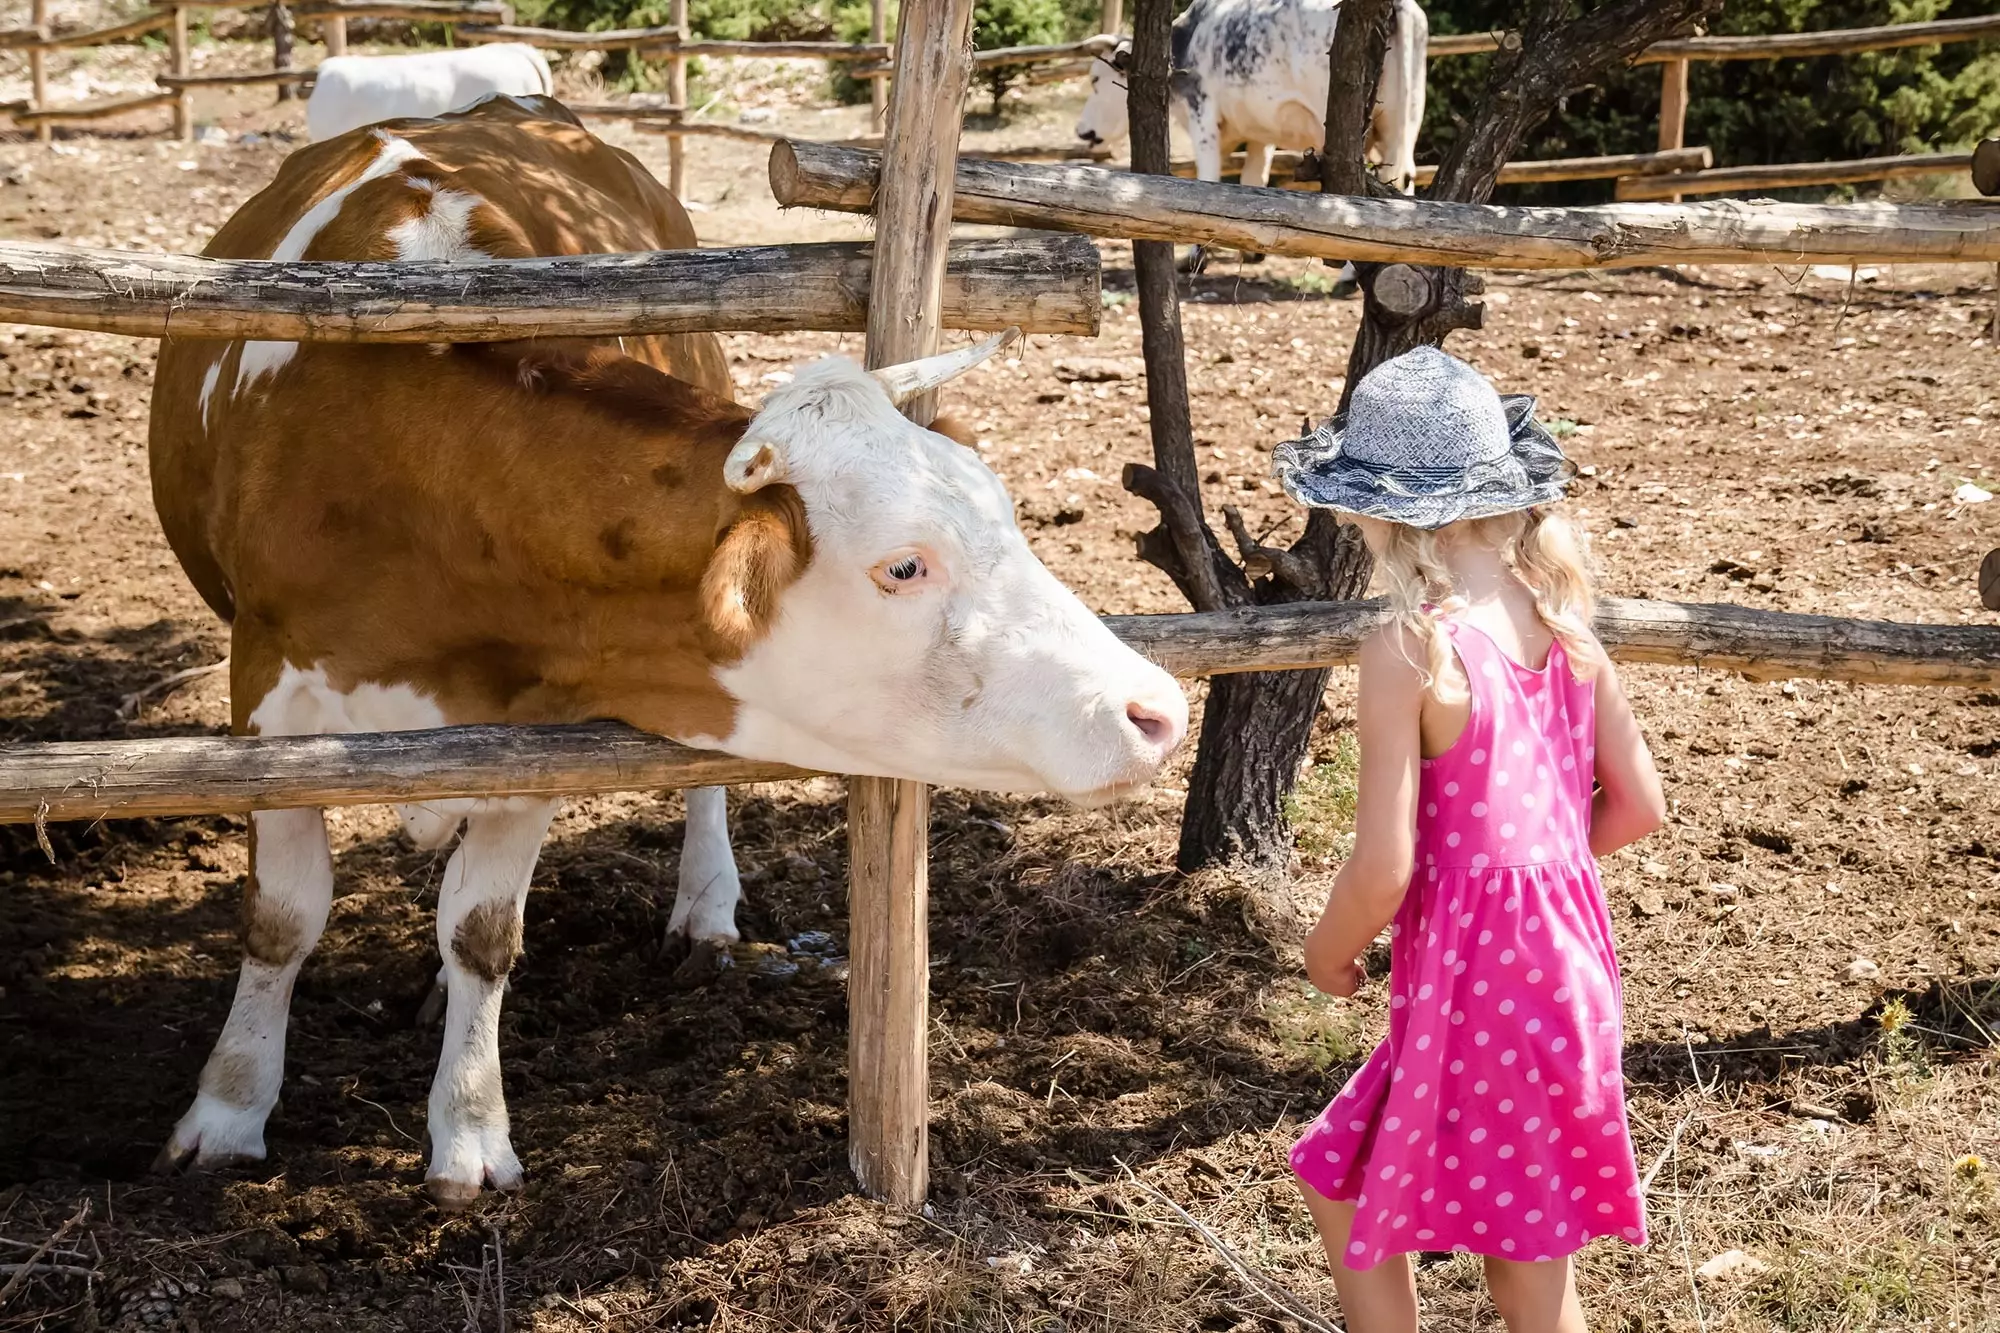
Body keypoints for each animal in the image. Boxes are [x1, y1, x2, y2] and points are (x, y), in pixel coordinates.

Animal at [152, 88, 1184, 1200]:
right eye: (903, 566)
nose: (1158, 709)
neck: (414, 469)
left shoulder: (541, 715)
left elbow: (481, 929)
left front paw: (467, 1126)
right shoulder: (267, 694)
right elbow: (282, 916)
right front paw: (228, 1107)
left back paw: (703, 904)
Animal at [1080, 0, 1440, 278]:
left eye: (1096, 79)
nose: (1082, 131)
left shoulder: (1202, 114)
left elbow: (1206, 180)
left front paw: (1194, 258)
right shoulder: (1259, 133)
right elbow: (1253, 178)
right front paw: (1251, 252)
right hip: (1403, 120)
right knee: (1402, 177)